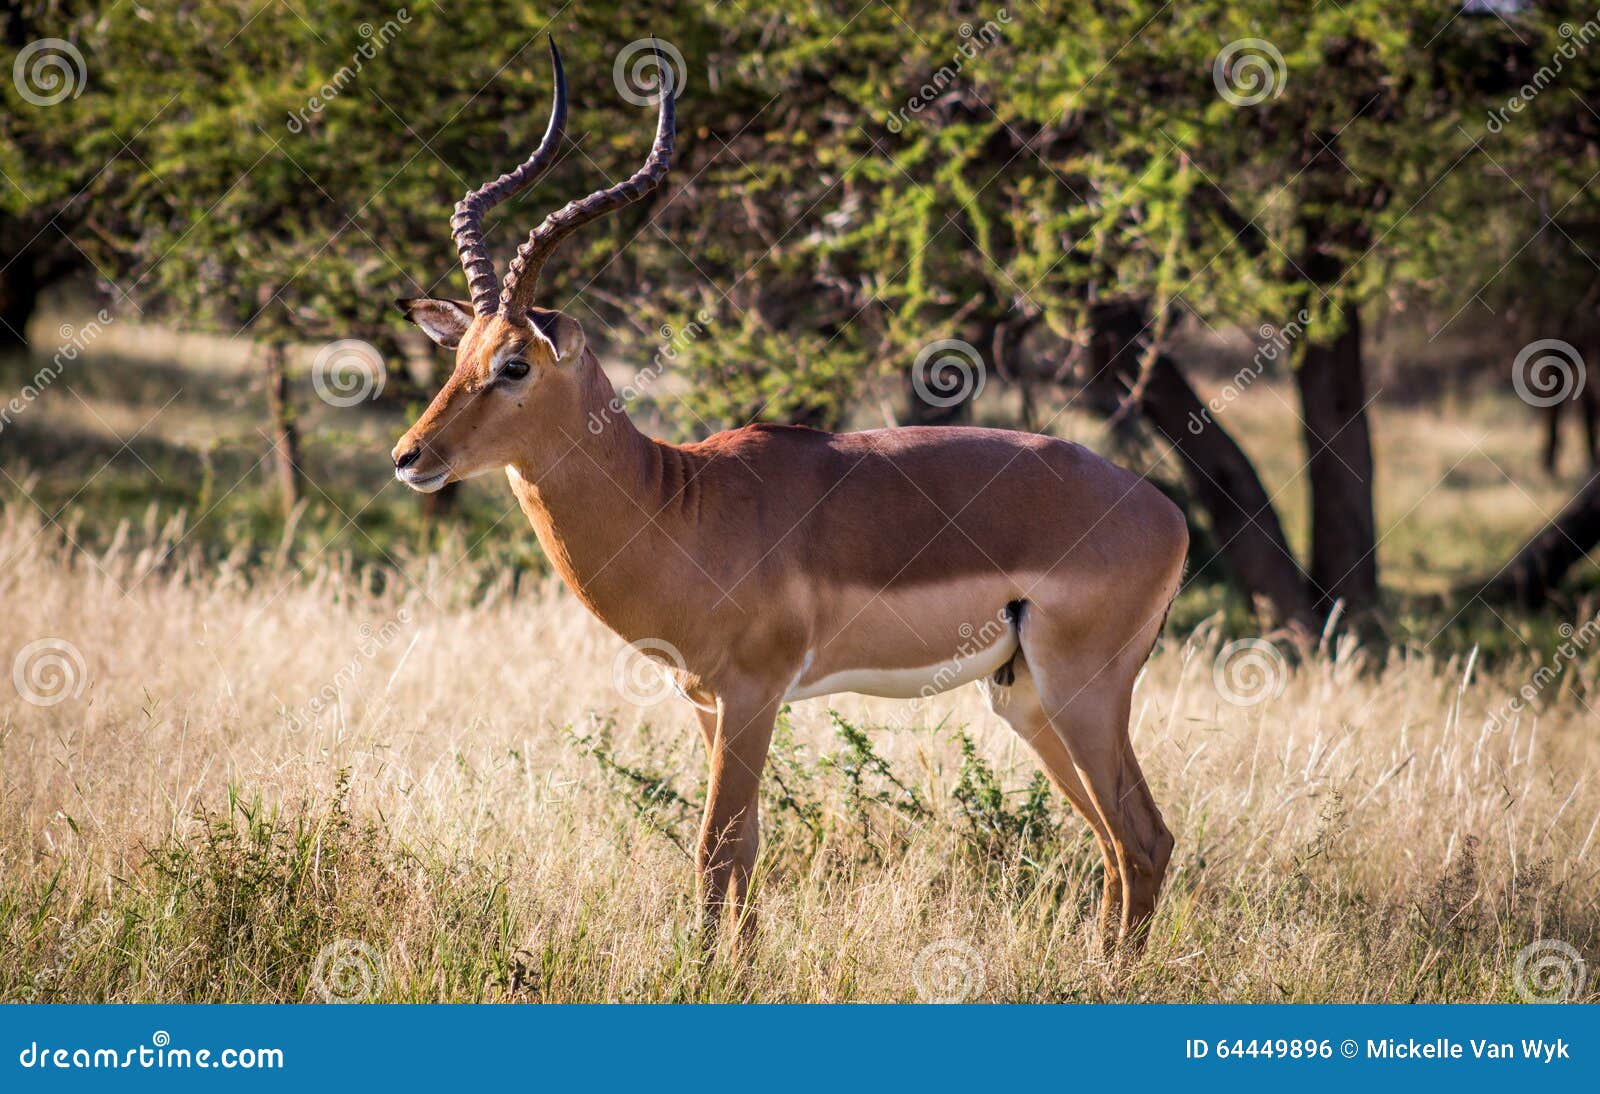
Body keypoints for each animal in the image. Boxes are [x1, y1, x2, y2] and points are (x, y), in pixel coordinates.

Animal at [391, 40, 1188, 951]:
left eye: (515, 364)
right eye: (460, 358)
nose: (410, 457)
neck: (677, 505)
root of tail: (1163, 510)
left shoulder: (753, 695)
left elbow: (714, 849)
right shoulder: (707, 703)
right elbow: (746, 849)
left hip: (1080, 691)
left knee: (1143, 837)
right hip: (1024, 698)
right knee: (1119, 844)